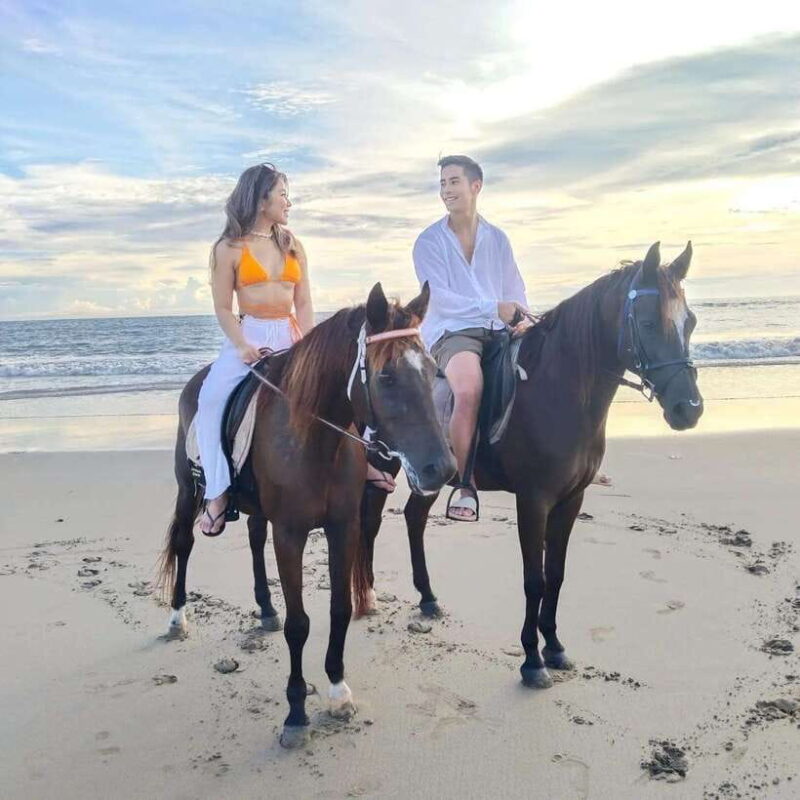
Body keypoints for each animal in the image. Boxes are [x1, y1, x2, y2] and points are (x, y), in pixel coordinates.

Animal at [157, 282, 456, 747]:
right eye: (386, 376)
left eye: (431, 371)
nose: (440, 469)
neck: (315, 438)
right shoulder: (290, 534)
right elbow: (299, 624)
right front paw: (296, 712)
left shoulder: (342, 529)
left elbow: (339, 609)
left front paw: (337, 690)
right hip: (189, 491)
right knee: (184, 544)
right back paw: (177, 617)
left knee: (254, 538)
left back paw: (265, 609)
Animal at [359, 241, 704, 688]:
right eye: (646, 322)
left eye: (689, 322)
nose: (689, 408)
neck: (560, 389)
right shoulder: (534, 500)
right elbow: (533, 579)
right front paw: (531, 659)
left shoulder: (571, 500)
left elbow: (555, 575)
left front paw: (554, 646)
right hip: (383, 462)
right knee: (369, 518)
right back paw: (366, 593)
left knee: (414, 517)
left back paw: (428, 599)